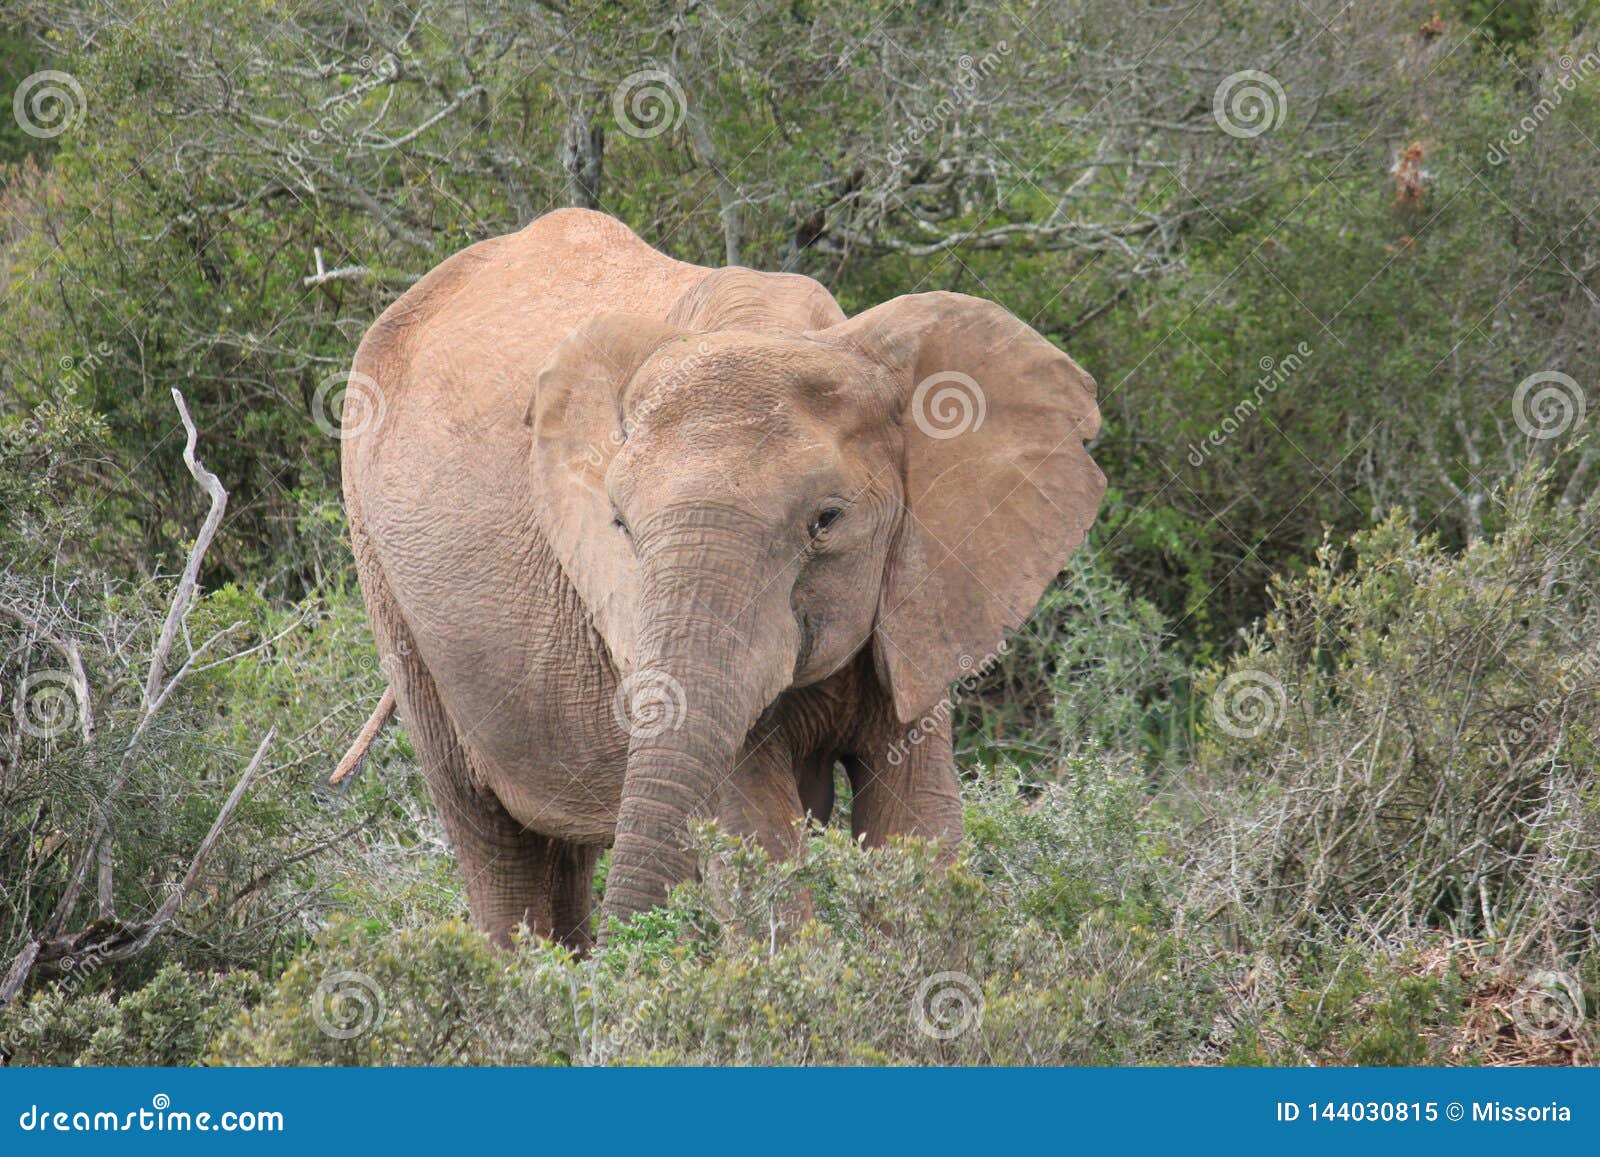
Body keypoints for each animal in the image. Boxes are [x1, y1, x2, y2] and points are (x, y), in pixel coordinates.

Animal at [336, 208, 1104, 951]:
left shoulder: (922, 594)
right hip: (388, 582)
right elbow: (754, 837)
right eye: (619, 523)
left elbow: (919, 825)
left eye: (827, 520)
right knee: (493, 842)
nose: (634, 949)